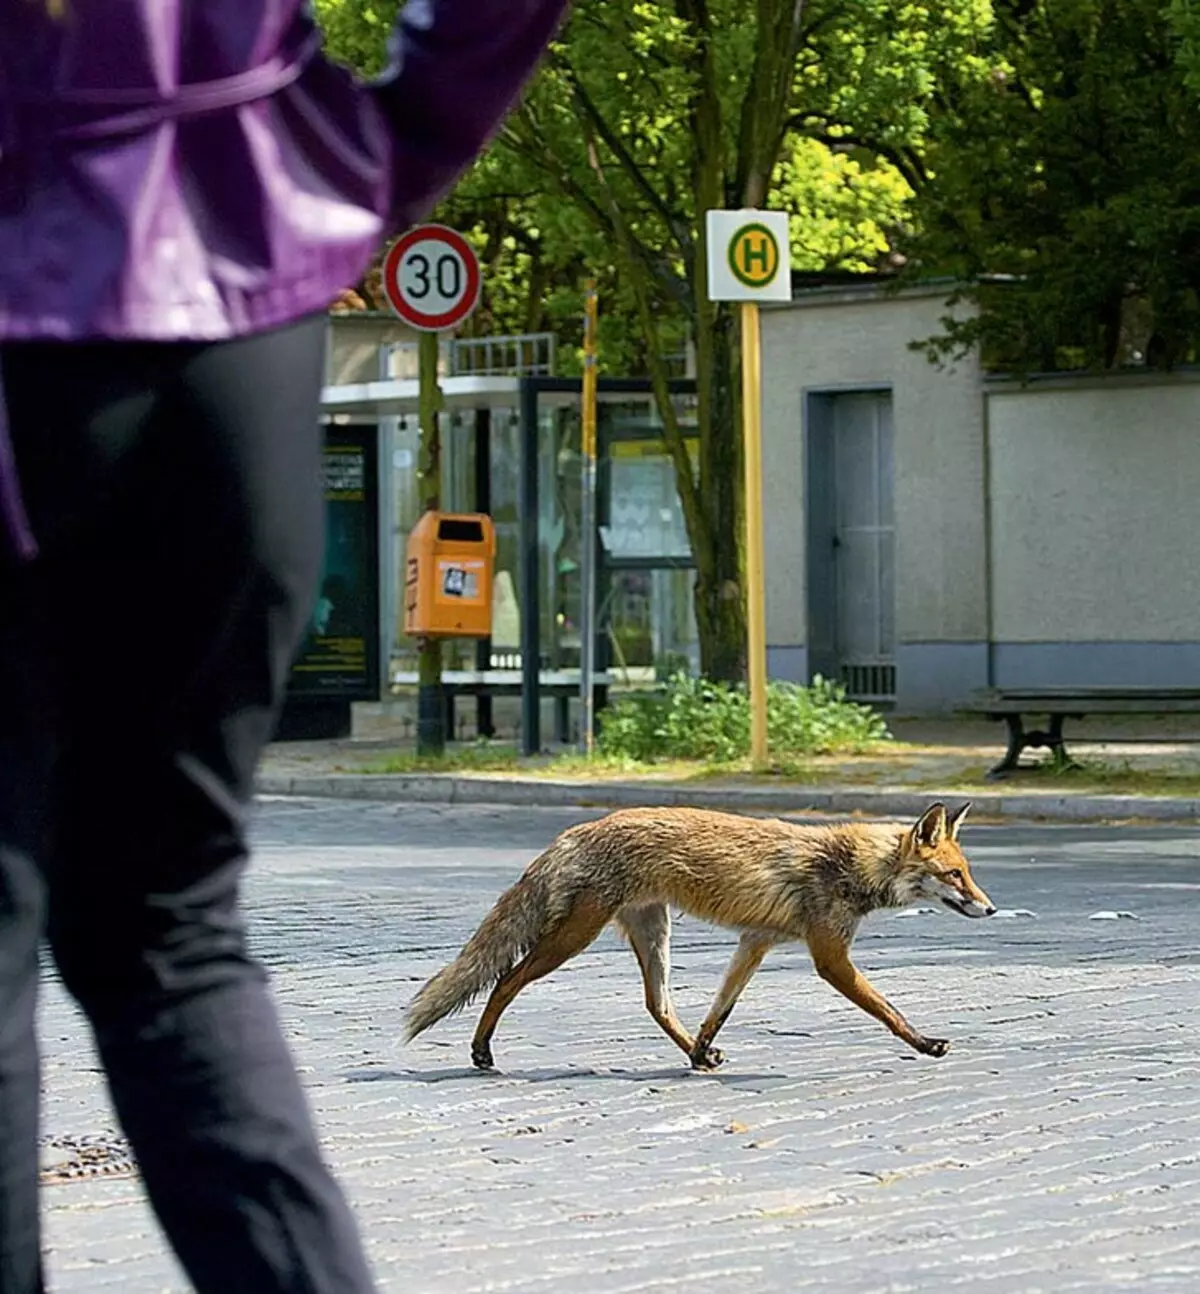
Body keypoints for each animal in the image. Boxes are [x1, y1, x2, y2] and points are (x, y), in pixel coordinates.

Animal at [403, 797, 994, 1071]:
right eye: (954, 875)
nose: (990, 908)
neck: (848, 865)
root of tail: (575, 831)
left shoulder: (755, 942)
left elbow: (719, 1010)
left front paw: (703, 1050)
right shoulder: (828, 955)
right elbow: (888, 1010)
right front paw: (925, 1044)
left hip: (652, 935)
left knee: (657, 1005)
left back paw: (694, 1056)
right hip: (574, 937)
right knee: (506, 977)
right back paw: (481, 1050)